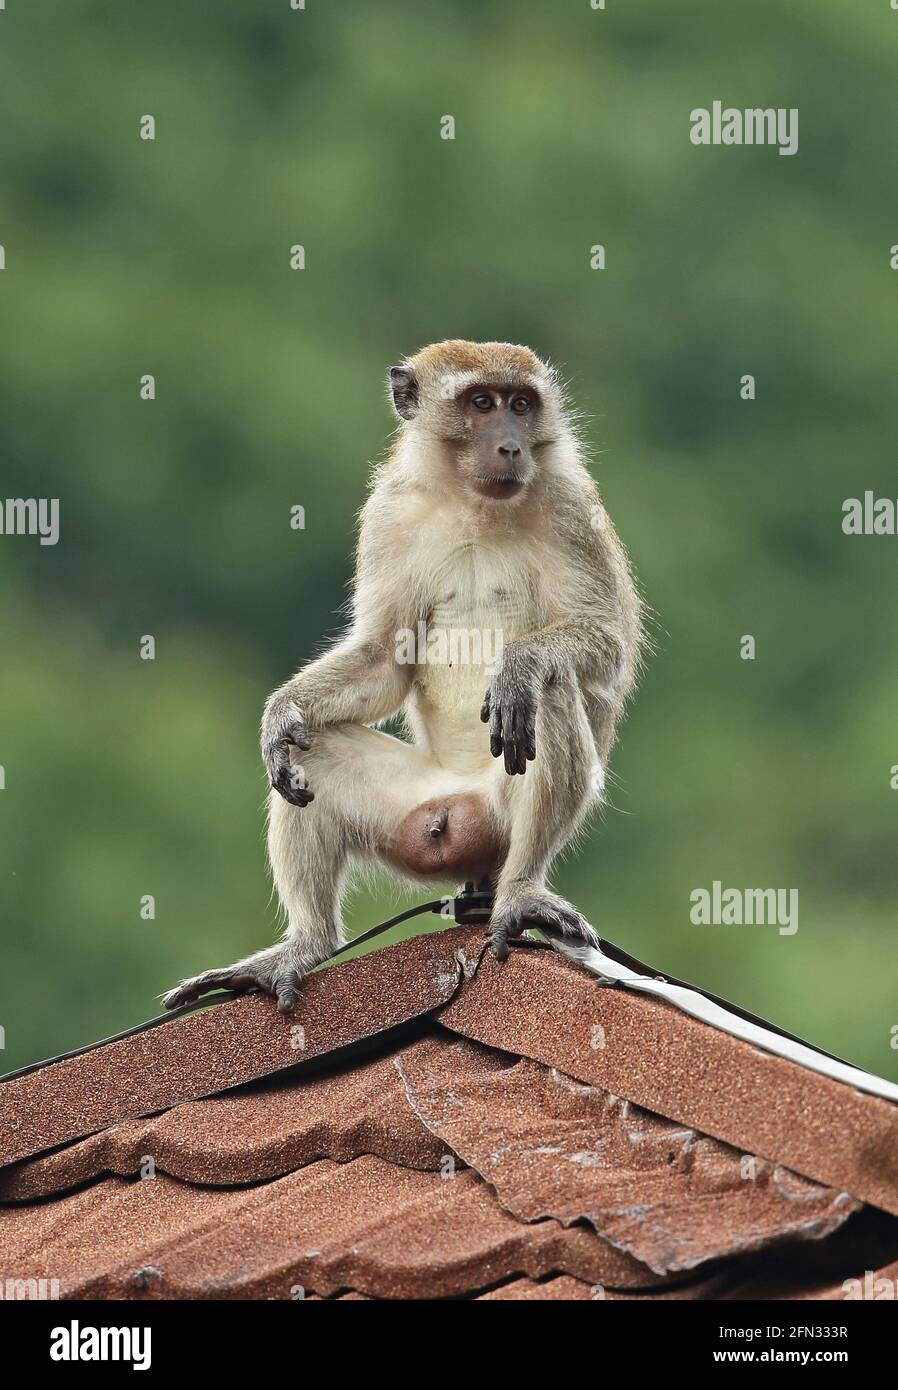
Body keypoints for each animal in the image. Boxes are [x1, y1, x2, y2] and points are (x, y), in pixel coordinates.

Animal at [164, 340, 643, 1014]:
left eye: (522, 405)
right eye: (482, 403)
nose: (511, 446)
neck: (474, 502)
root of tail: (460, 804)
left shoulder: (571, 504)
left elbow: (607, 645)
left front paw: (520, 664)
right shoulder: (390, 511)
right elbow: (384, 659)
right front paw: (281, 714)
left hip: (498, 813)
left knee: (546, 692)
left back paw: (521, 890)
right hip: (415, 806)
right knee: (316, 750)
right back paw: (307, 943)